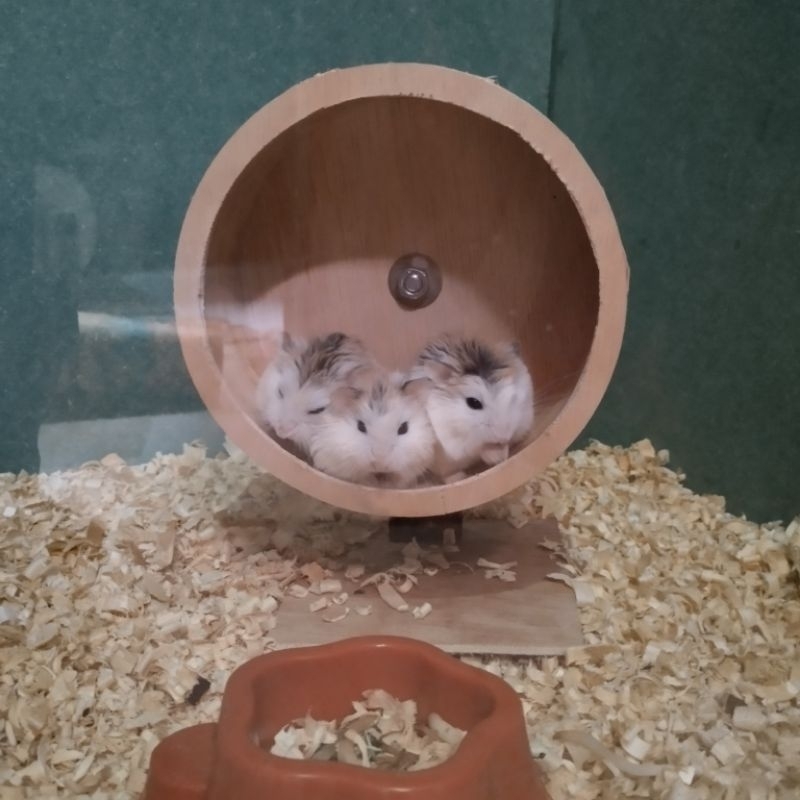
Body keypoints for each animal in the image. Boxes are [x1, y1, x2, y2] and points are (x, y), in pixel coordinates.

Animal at [408, 333, 534, 482]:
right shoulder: (456, 442)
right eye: (473, 403)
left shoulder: (523, 422)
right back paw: (459, 477)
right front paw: (496, 458)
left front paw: (503, 454)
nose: (504, 437)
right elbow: (477, 448)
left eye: (513, 396)